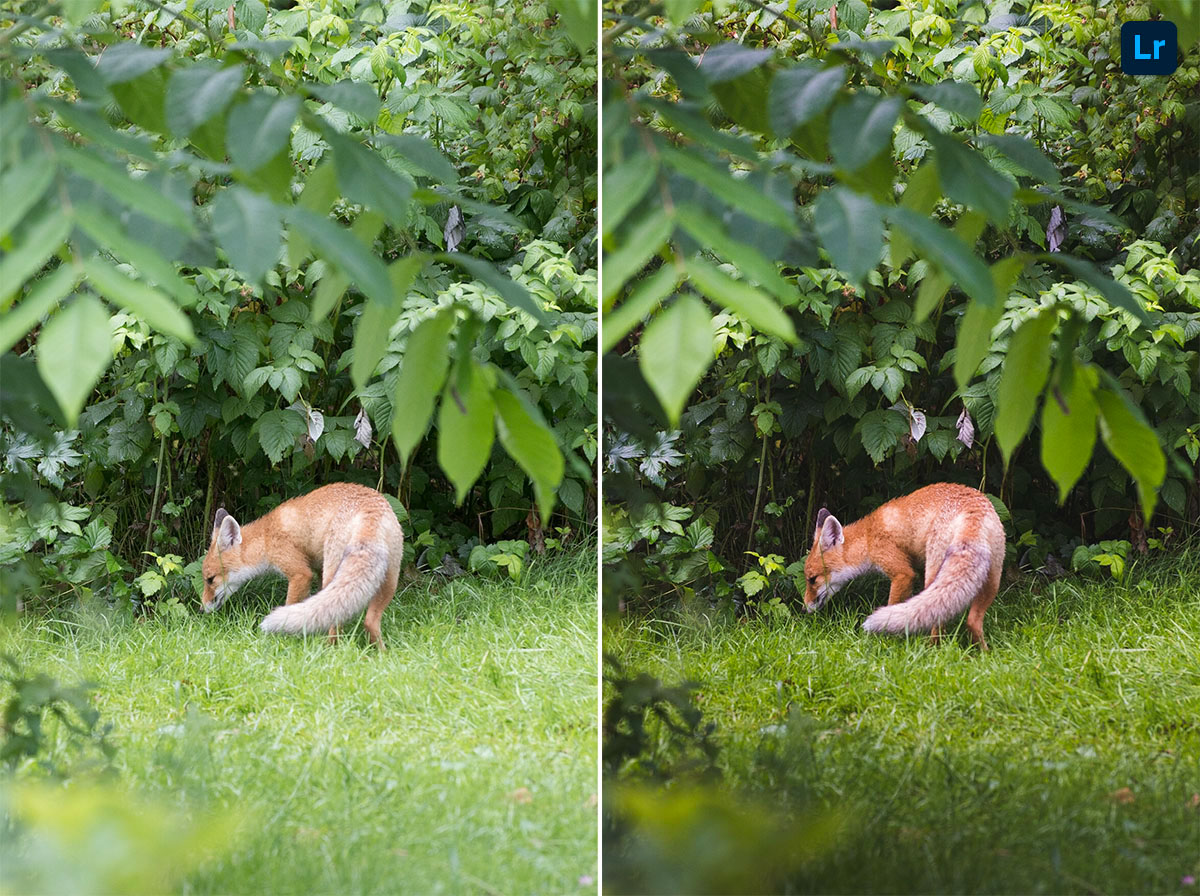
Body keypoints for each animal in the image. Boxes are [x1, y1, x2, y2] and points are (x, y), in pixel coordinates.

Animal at [200, 482, 404, 649]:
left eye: (210, 579)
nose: (201, 610)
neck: (266, 537)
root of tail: (369, 514)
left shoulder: (300, 573)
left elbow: (292, 604)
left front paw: (282, 639)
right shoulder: (316, 569)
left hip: (334, 573)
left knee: (337, 620)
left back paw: (329, 650)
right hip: (389, 578)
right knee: (370, 621)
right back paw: (381, 653)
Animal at [803, 483, 1005, 649]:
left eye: (812, 579)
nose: (804, 609)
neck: (868, 537)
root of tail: (972, 514)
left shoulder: (902, 573)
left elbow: (894, 604)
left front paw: (885, 640)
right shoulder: (913, 571)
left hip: (934, 573)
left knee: (938, 619)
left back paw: (933, 650)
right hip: (992, 578)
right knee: (972, 621)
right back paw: (983, 654)